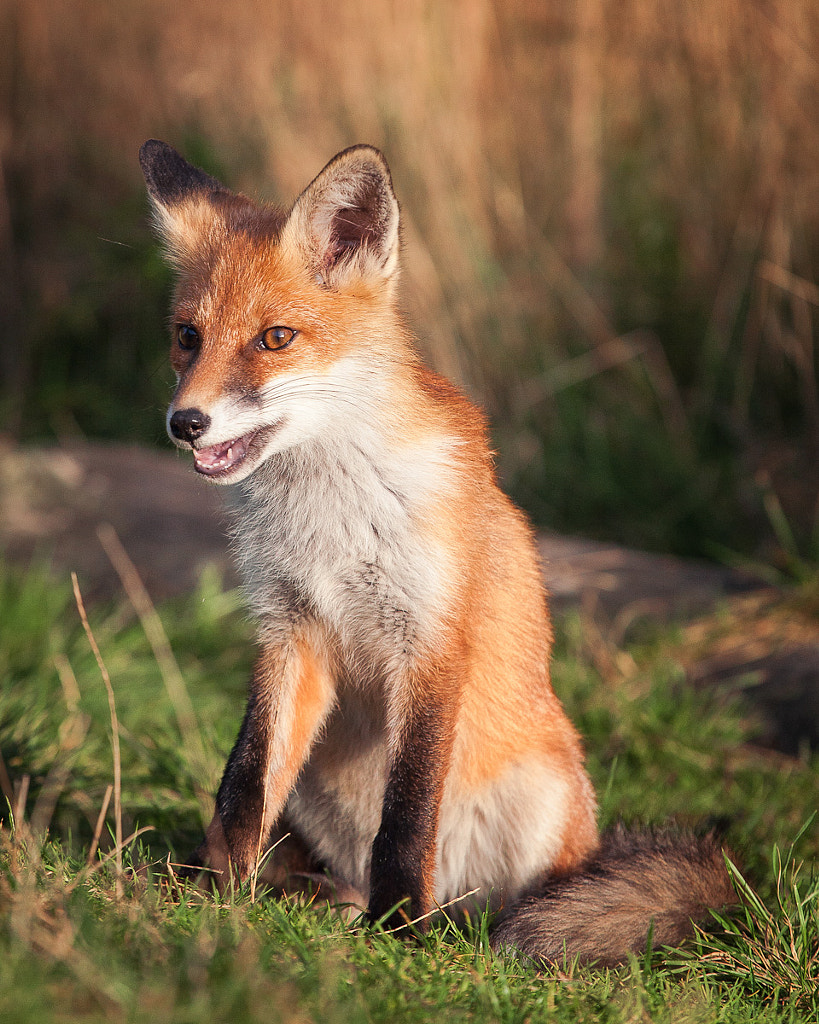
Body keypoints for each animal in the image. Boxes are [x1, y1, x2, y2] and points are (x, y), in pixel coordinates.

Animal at [139, 139, 735, 966]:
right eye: (187, 335)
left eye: (275, 338)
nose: (184, 422)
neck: (328, 512)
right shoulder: (289, 631)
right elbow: (241, 784)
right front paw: (211, 891)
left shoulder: (428, 640)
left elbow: (407, 815)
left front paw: (396, 930)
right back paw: (332, 902)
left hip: (542, 799)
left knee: (511, 904)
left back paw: (445, 927)